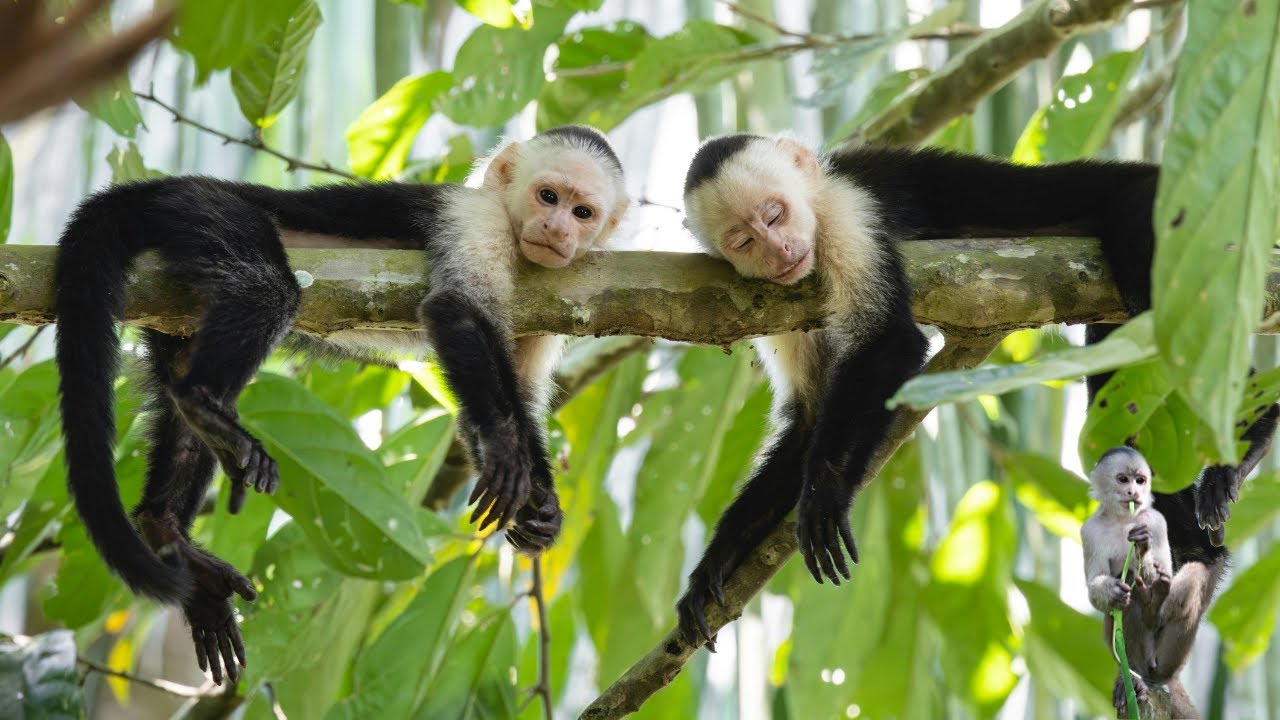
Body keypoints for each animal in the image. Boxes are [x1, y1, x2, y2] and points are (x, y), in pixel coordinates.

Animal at [52, 125, 628, 685]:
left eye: (582, 213)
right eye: (547, 196)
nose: (556, 228)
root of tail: (166, 185)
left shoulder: (554, 291)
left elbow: (506, 404)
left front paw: (541, 508)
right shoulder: (474, 217)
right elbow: (457, 308)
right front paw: (509, 453)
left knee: (181, 378)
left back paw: (166, 525)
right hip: (199, 210)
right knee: (267, 287)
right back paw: (206, 404)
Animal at [673, 133, 1278, 652]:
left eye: (775, 214)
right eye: (744, 240)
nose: (779, 250)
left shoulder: (849, 216)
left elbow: (892, 343)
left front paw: (826, 492)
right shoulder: (778, 301)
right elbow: (809, 419)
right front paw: (716, 561)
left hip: (1154, 206)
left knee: (1161, 308)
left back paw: (1244, 442)